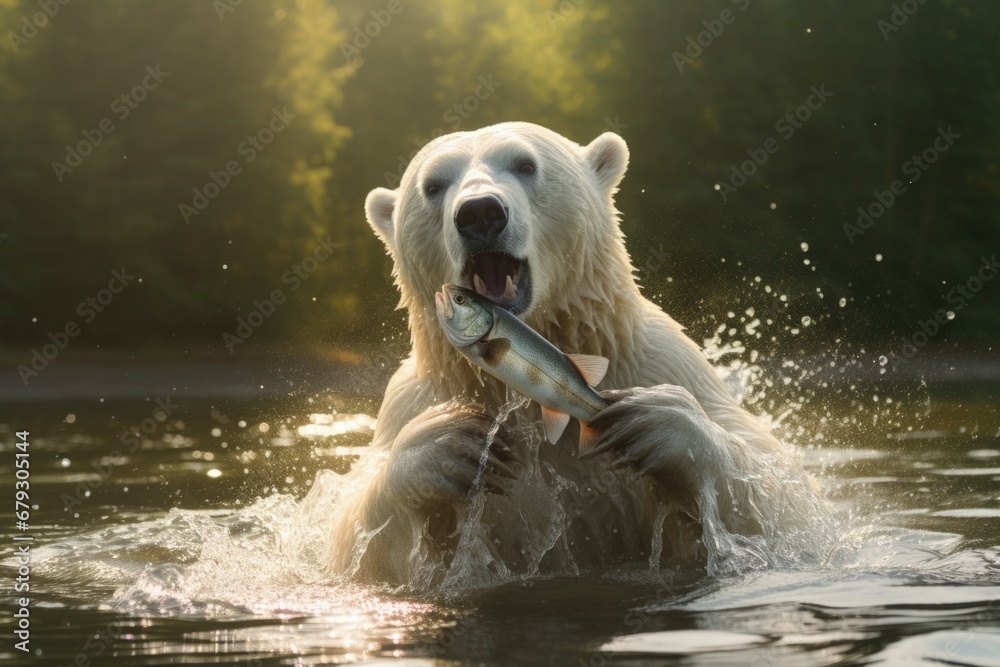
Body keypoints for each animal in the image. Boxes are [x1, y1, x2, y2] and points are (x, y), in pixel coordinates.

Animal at [321, 122, 825, 588]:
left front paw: (663, 422)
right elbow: (359, 550)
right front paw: (444, 443)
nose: (480, 212)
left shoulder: (664, 361)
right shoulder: (412, 398)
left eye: (525, 165)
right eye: (432, 185)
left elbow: (787, 509)